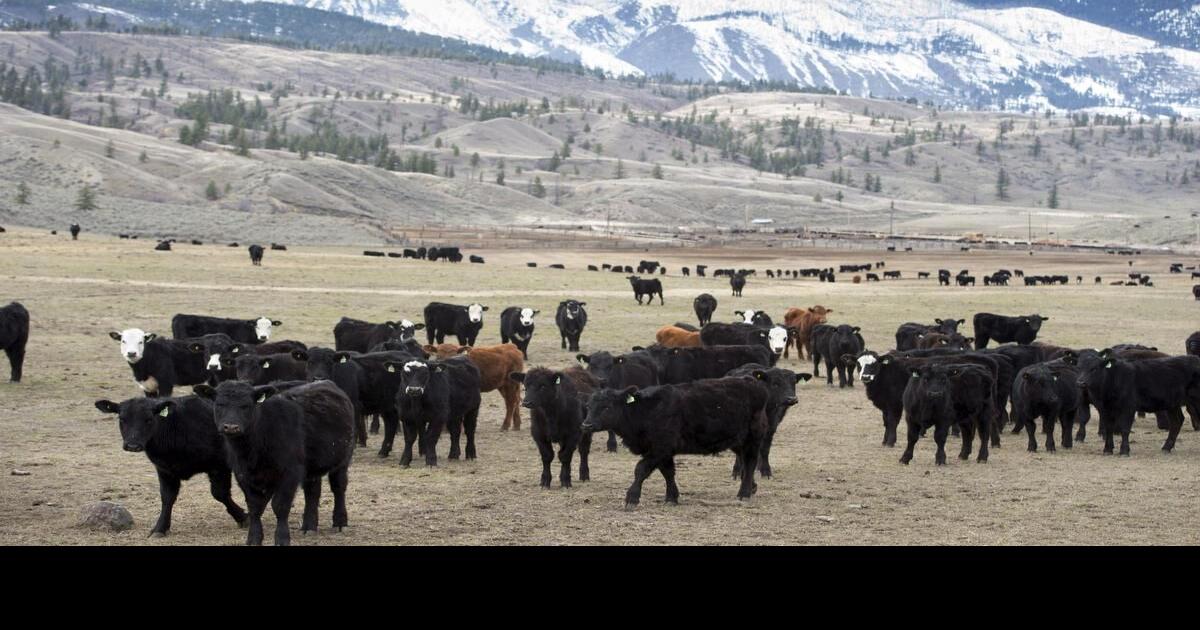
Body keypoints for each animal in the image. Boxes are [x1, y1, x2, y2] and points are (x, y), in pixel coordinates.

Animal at [93, 394, 247, 537]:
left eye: (149, 420)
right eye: (122, 419)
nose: (132, 445)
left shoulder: (219, 465)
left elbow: (220, 493)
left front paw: (243, 518)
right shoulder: (165, 470)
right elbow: (167, 497)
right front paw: (160, 528)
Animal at [194, 381, 354, 546]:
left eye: (246, 405)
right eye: (219, 404)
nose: (231, 427)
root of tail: (324, 382)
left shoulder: (290, 472)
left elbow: (280, 506)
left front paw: (282, 538)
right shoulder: (242, 474)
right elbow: (254, 507)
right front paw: (254, 538)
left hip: (343, 459)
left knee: (338, 488)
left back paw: (340, 522)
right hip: (312, 468)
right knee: (312, 492)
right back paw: (309, 526)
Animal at [581, 377, 769, 507]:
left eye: (607, 406)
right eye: (588, 406)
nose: (586, 424)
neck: (646, 411)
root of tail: (753, 382)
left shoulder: (660, 448)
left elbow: (641, 469)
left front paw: (632, 498)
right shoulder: (664, 451)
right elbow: (668, 472)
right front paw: (671, 497)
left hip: (752, 438)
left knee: (750, 462)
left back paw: (744, 493)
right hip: (737, 441)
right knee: (744, 461)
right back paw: (752, 487)